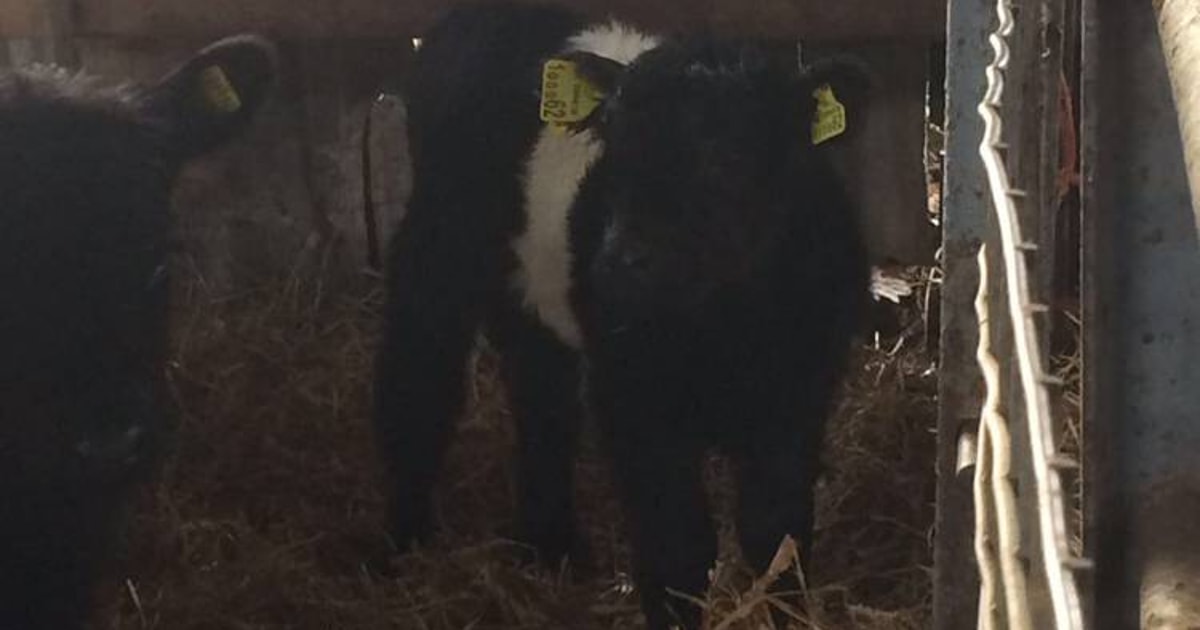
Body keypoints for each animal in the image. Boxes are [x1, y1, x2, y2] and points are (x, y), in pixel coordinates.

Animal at [372, 4, 870, 627]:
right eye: (614, 147)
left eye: (727, 160)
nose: (617, 262)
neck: (728, 325)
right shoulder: (634, 400)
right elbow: (677, 542)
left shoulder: (797, 395)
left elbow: (776, 528)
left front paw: (786, 611)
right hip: (438, 241)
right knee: (419, 373)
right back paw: (403, 540)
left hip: (530, 294)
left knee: (541, 398)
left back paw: (549, 544)